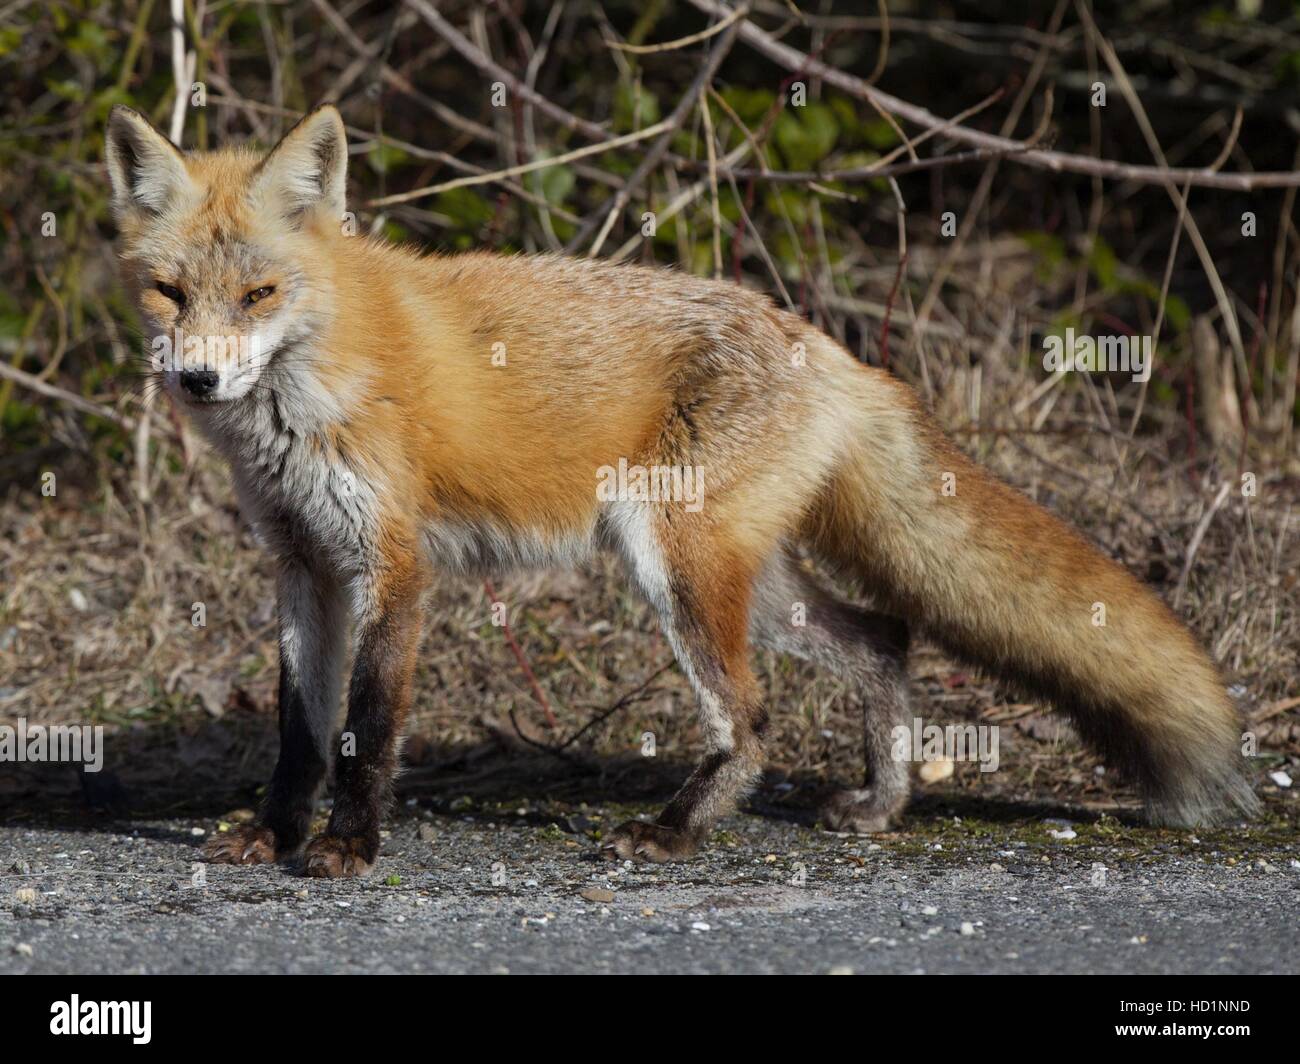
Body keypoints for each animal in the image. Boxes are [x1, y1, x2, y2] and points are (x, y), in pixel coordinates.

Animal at [104, 103, 1258, 877]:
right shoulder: (303, 564)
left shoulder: (393, 563)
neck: (308, 378)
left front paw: (348, 846)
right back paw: (879, 805)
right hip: (751, 581)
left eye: (260, 293)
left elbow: (369, 725)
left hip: (678, 565)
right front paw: (274, 833)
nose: (198, 379)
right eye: (170, 292)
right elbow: (302, 729)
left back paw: (675, 829)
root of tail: (833, 352)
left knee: (752, 717)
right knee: (884, 639)